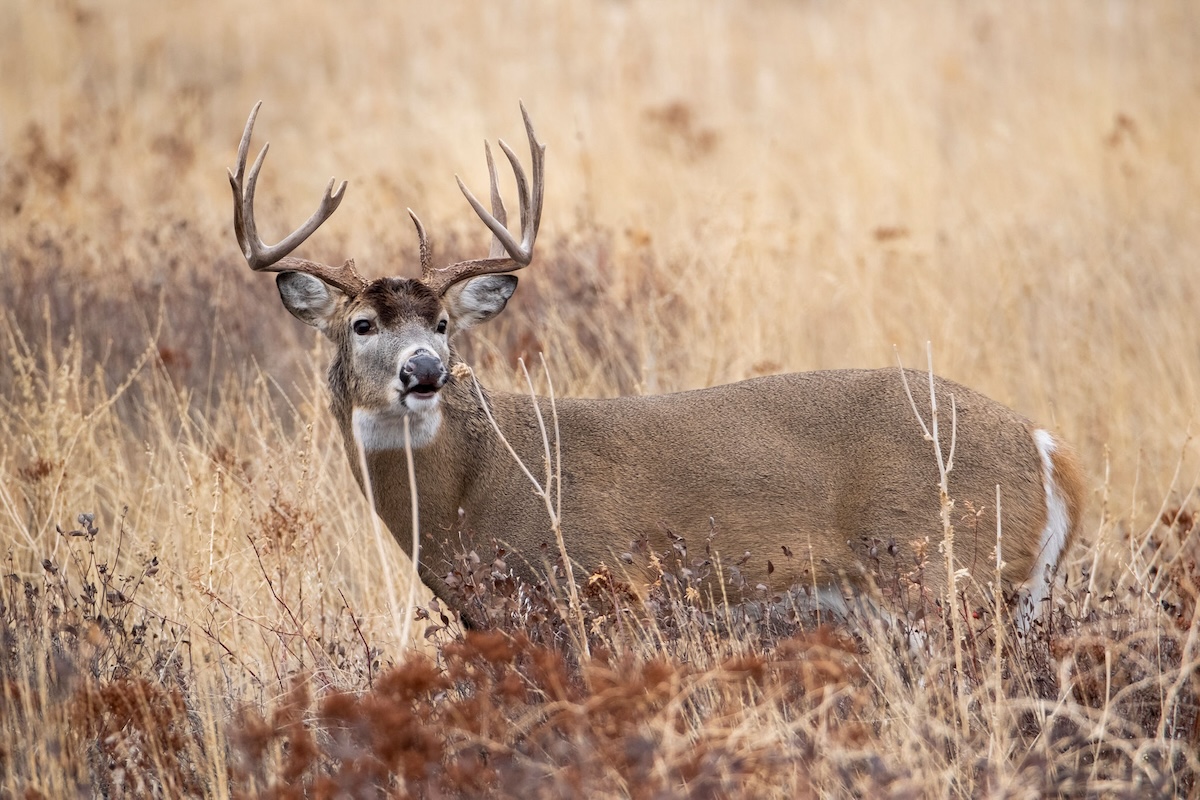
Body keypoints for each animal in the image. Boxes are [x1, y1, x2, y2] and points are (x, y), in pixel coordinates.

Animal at [228, 102, 1086, 635]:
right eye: (363, 324)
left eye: (443, 323)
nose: (426, 370)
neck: (474, 490)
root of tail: (1047, 449)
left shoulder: (592, 594)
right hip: (1017, 595)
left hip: (940, 573)